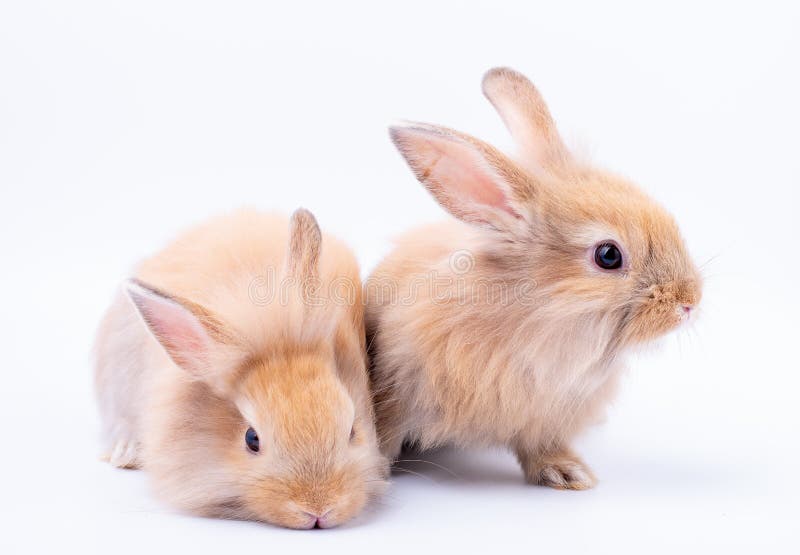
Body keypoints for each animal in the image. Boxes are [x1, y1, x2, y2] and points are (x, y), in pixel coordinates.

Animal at [365, 67, 702, 490]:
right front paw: (373, 473)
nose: (690, 302)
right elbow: (385, 435)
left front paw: (570, 474)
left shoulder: (544, 419)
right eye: (608, 256)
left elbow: (541, 448)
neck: (537, 322)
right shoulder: (397, 392)